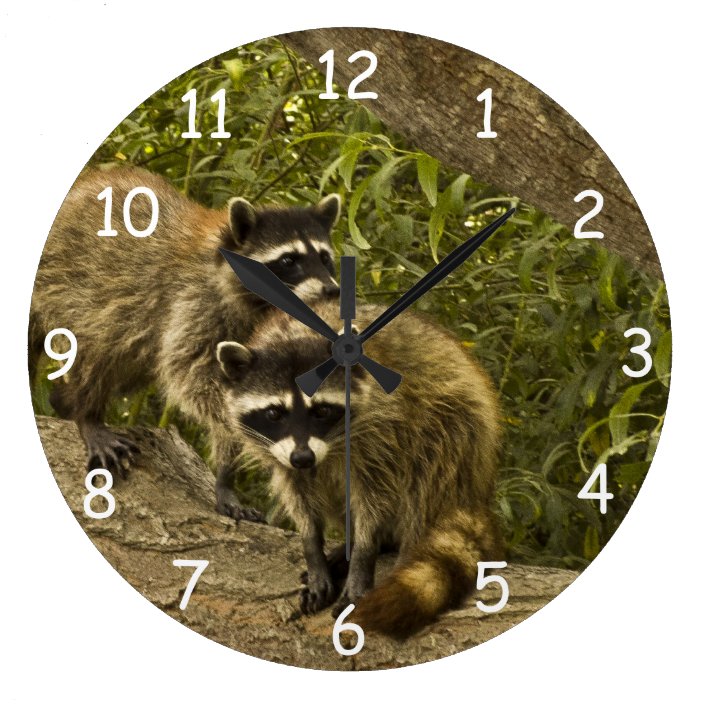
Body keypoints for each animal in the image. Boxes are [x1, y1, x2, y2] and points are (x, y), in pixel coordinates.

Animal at [29, 165, 341, 522]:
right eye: (289, 260)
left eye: (324, 258)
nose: (332, 290)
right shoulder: (194, 300)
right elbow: (191, 375)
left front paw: (225, 475)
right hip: (69, 283)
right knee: (99, 340)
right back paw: (87, 413)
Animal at [216, 299, 504, 637]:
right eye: (274, 413)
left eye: (322, 410)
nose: (304, 459)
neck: (293, 336)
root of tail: (479, 488)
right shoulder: (281, 452)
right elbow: (299, 496)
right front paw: (313, 549)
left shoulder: (383, 429)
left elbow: (375, 496)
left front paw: (363, 556)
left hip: (457, 426)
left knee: (429, 469)